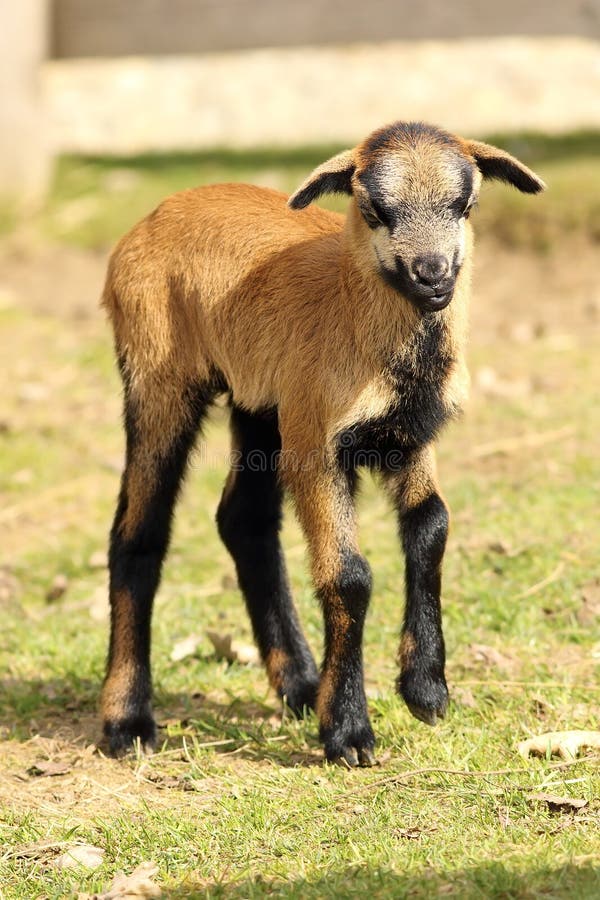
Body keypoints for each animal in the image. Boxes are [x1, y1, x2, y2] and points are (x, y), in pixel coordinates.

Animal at [100, 121, 544, 765]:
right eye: (375, 209)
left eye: (465, 205)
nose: (433, 275)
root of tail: (156, 214)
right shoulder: (319, 447)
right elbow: (349, 575)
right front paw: (349, 733)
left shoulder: (408, 435)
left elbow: (432, 528)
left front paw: (426, 689)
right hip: (158, 377)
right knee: (138, 533)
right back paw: (127, 721)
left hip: (260, 404)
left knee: (244, 520)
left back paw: (303, 684)